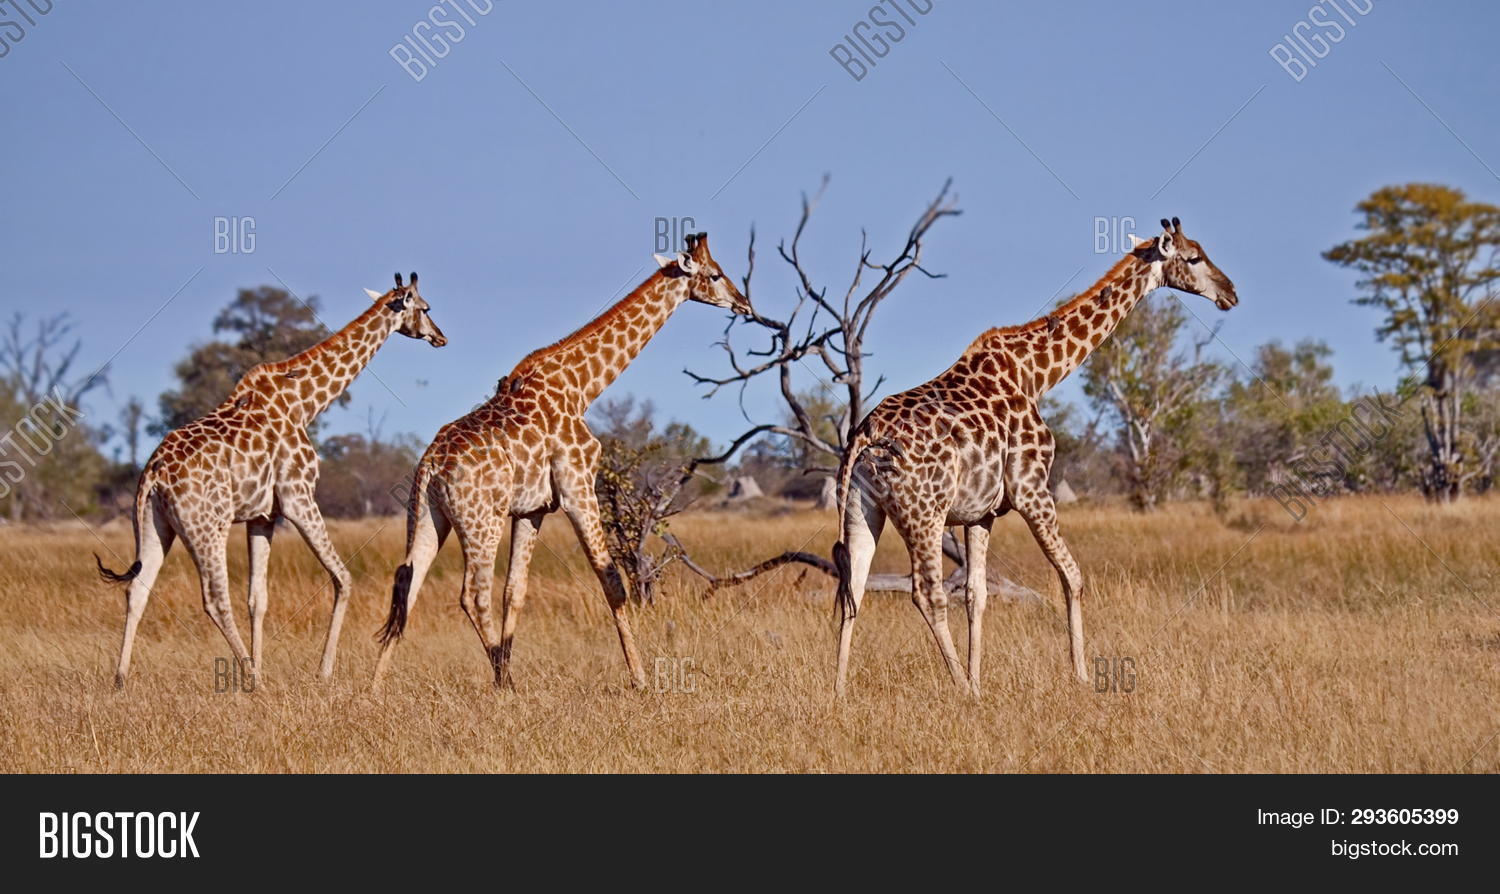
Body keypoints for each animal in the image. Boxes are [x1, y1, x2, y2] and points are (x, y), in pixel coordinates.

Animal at [98, 273, 447, 688]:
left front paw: (268, 663)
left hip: (157, 524)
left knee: (137, 589)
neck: (304, 402)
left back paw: (121, 680)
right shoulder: (298, 496)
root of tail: (153, 472)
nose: (441, 337)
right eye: (425, 308)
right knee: (215, 598)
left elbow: (258, 599)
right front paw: (322, 672)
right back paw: (251, 680)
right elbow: (343, 578)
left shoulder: (263, 515)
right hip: (207, 526)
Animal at [370, 233, 750, 691]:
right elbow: (612, 581)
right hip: (481, 521)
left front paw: (506, 668)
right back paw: (505, 687)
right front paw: (640, 678)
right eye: (715, 274)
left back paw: (376, 689)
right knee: (471, 594)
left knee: (408, 583)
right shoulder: (577, 487)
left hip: (428, 516)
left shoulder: (531, 509)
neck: (582, 386)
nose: (745, 304)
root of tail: (431, 465)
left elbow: (515, 591)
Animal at [831, 218, 1239, 697]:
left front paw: (981, 683)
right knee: (925, 593)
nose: (1230, 293)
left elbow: (977, 595)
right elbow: (1073, 576)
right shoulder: (1032, 489)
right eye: (1193, 258)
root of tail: (867, 435)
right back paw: (959, 690)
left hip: (863, 507)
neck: (1037, 374)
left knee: (853, 586)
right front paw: (1080, 676)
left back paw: (839, 692)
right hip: (923, 511)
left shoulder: (980, 513)